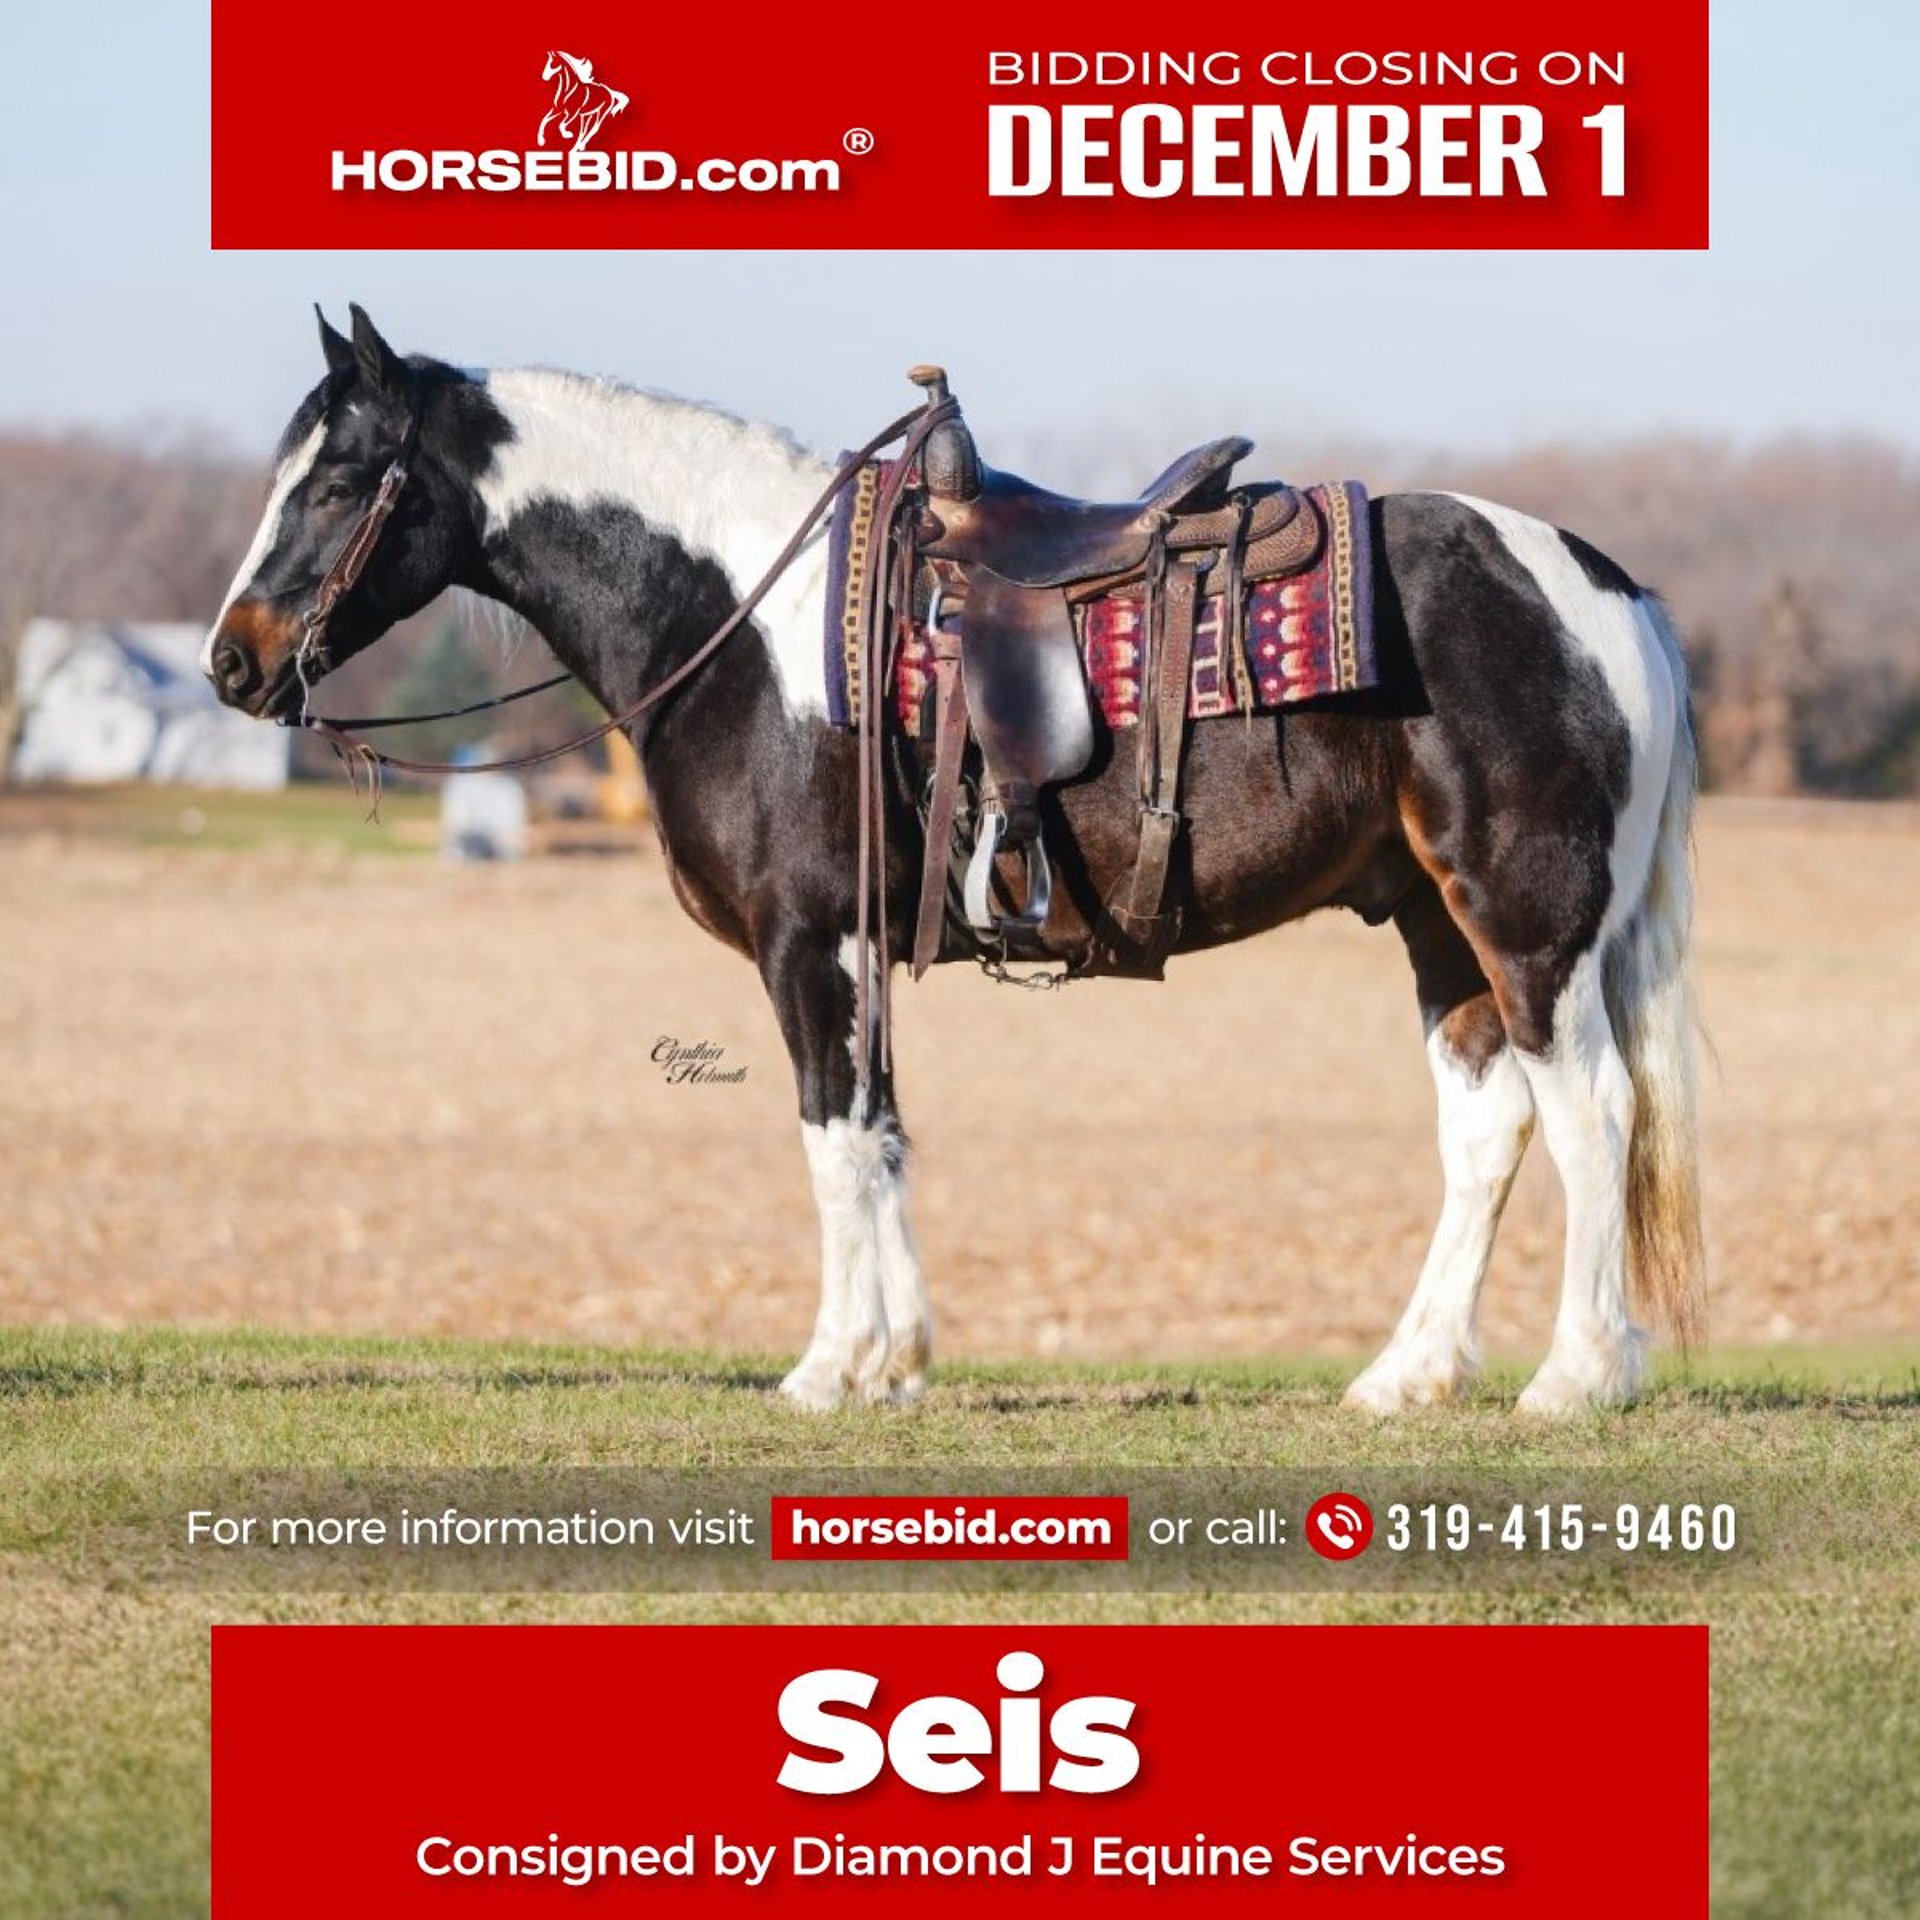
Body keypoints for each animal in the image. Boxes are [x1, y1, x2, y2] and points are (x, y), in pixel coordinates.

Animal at [202, 305, 1705, 1418]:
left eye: (338, 479)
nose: (234, 661)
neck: (740, 616)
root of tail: (1606, 586)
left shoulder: (810, 941)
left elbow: (832, 1137)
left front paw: (833, 1368)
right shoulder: (855, 945)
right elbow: (880, 1134)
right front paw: (894, 1358)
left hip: (1529, 924)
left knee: (1594, 1113)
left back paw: (1575, 1379)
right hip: (1439, 929)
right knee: (1490, 1128)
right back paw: (1408, 1376)